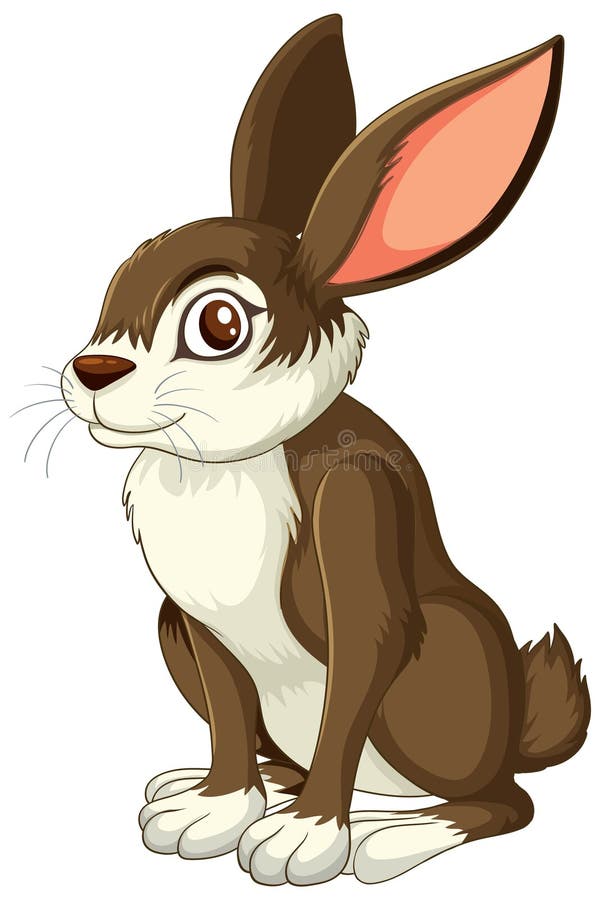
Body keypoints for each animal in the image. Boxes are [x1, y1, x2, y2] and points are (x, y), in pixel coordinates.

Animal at [54, 13, 589, 887]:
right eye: (119, 278)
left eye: (219, 324)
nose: (93, 372)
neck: (223, 463)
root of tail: (518, 733)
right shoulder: (197, 624)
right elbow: (229, 717)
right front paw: (214, 810)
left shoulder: (354, 526)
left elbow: (353, 685)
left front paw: (303, 839)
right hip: (171, 628)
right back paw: (231, 784)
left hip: (450, 661)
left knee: (502, 802)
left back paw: (388, 834)